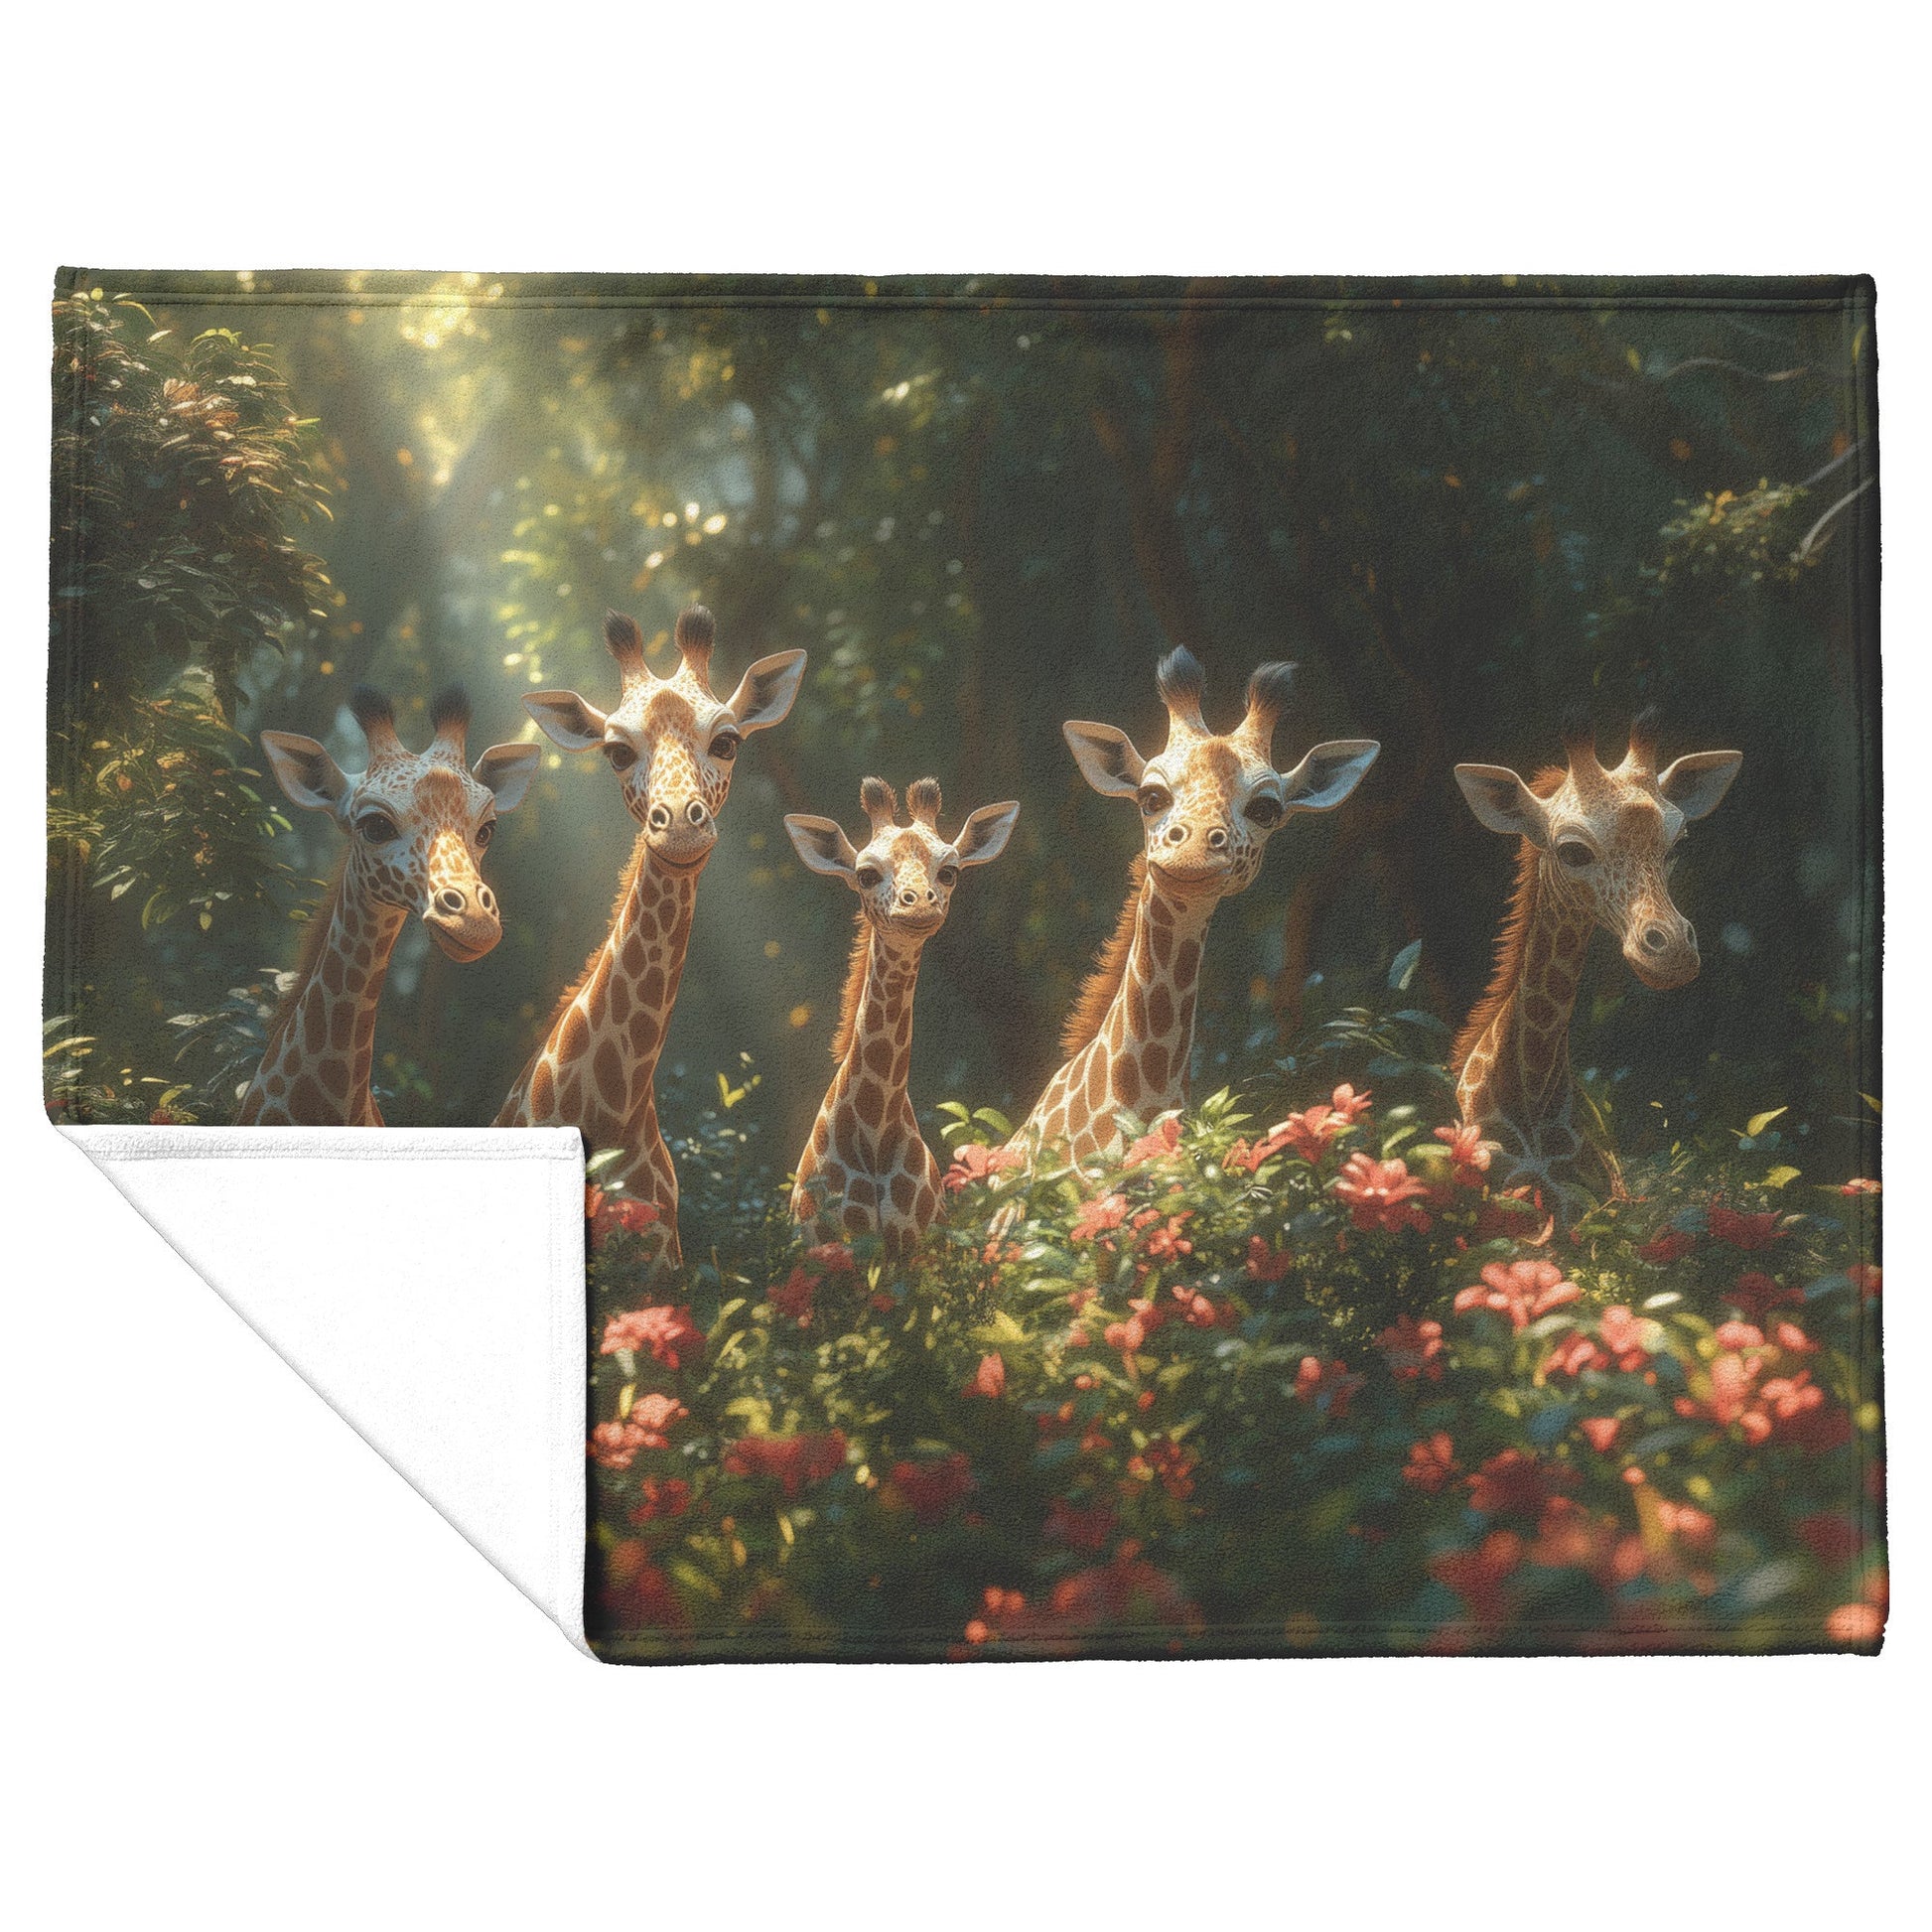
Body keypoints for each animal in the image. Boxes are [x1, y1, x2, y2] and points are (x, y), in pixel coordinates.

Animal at [784, 776, 1020, 1250]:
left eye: (949, 871)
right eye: (866, 874)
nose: (919, 904)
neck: (876, 1127)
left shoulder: (917, 1247)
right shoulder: (829, 1249)